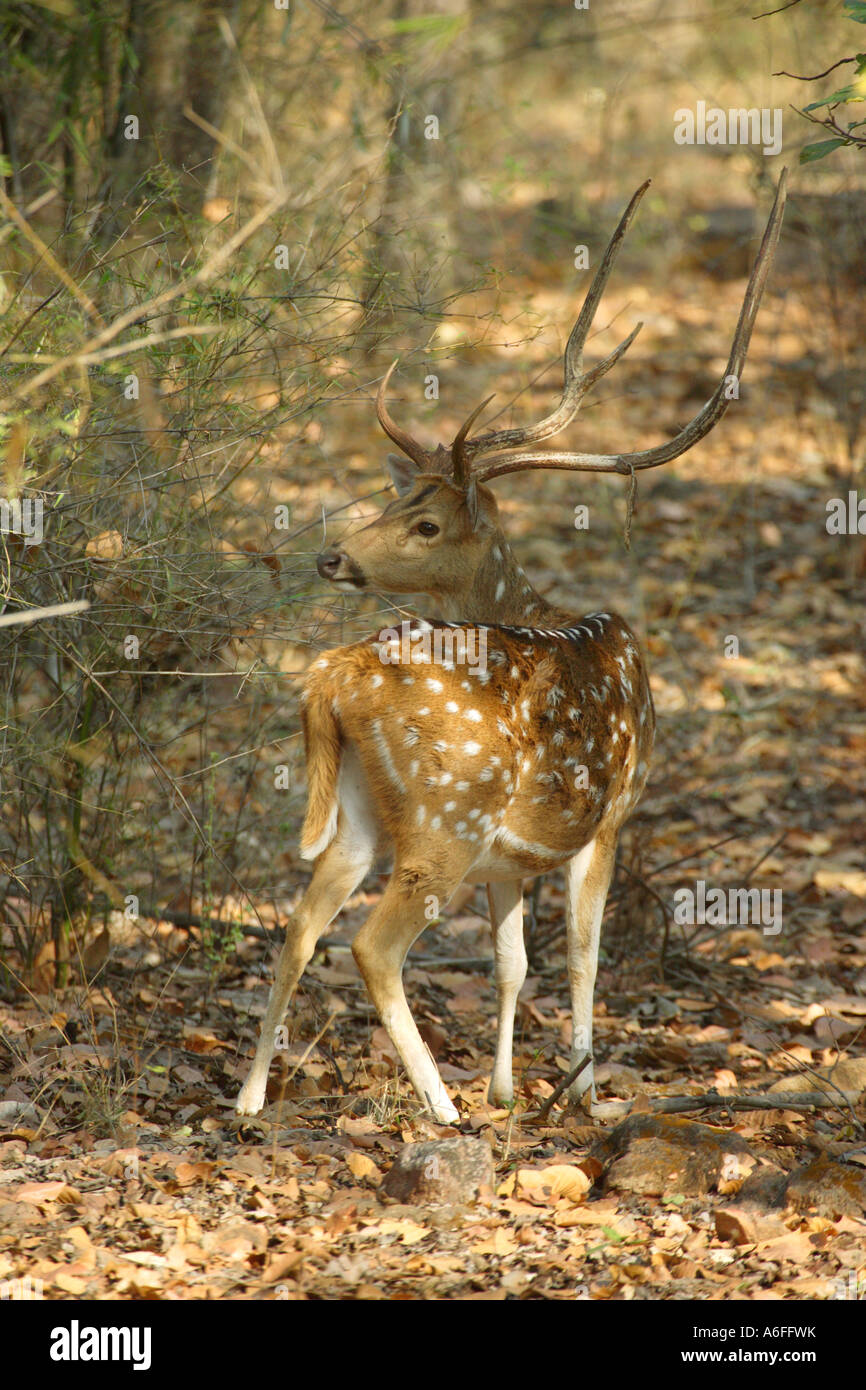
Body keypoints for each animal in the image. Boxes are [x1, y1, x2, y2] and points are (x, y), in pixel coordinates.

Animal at [236, 171, 787, 1124]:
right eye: (398, 504)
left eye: (422, 519)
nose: (332, 554)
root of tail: (333, 678)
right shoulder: (610, 817)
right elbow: (584, 955)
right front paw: (584, 1091)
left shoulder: (512, 858)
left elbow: (512, 962)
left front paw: (502, 1085)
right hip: (445, 815)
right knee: (371, 946)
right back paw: (439, 1108)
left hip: (358, 814)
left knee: (299, 927)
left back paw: (252, 1097)